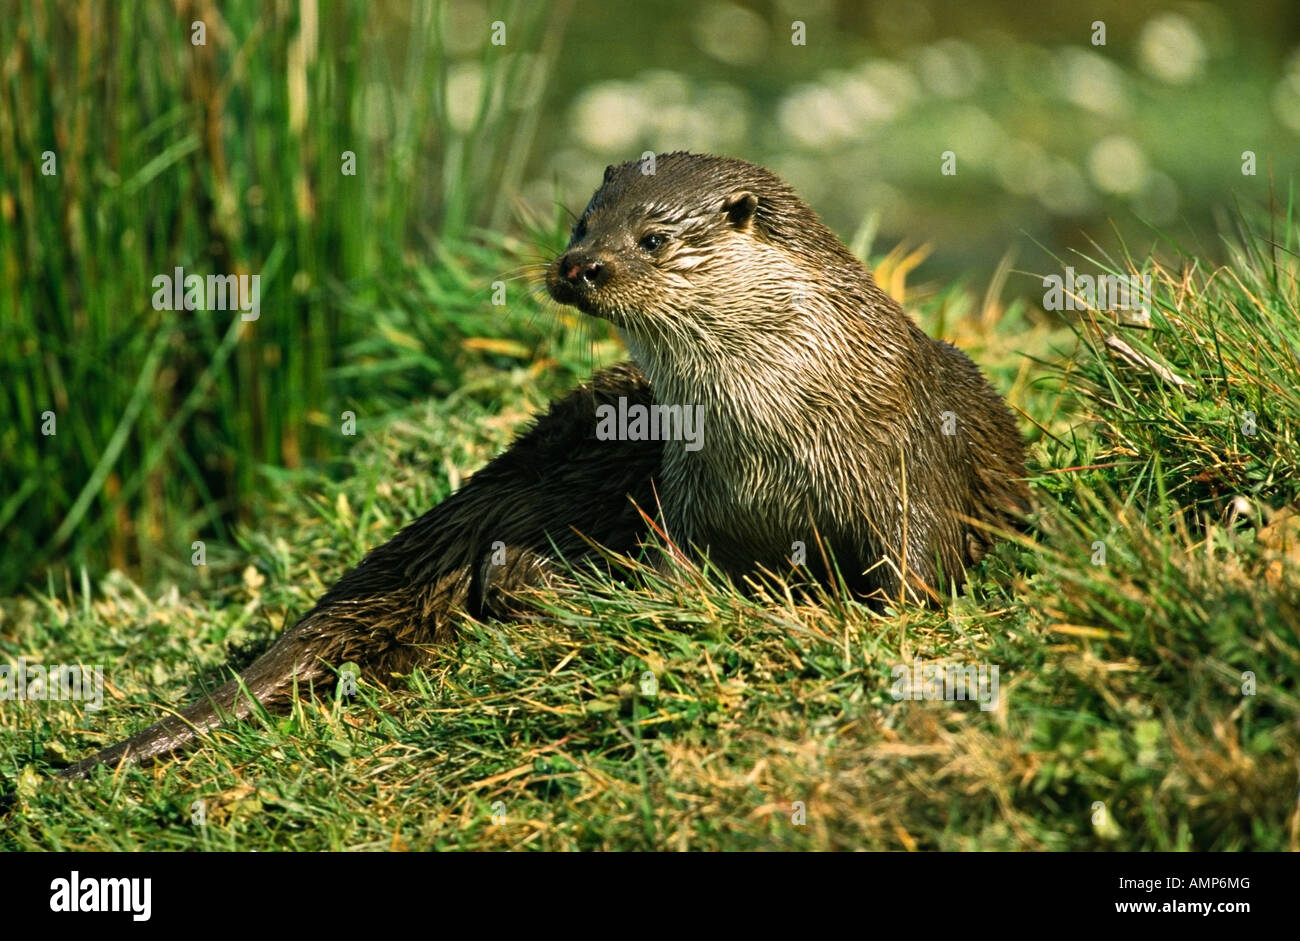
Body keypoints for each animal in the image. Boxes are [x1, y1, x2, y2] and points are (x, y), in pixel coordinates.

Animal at [59, 152, 1028, 779]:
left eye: (650, 238)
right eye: (581, 222)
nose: (578, 266)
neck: (780, 423)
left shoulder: (906, 462)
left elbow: (918, 570)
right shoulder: (684, 494)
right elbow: (678, 570)